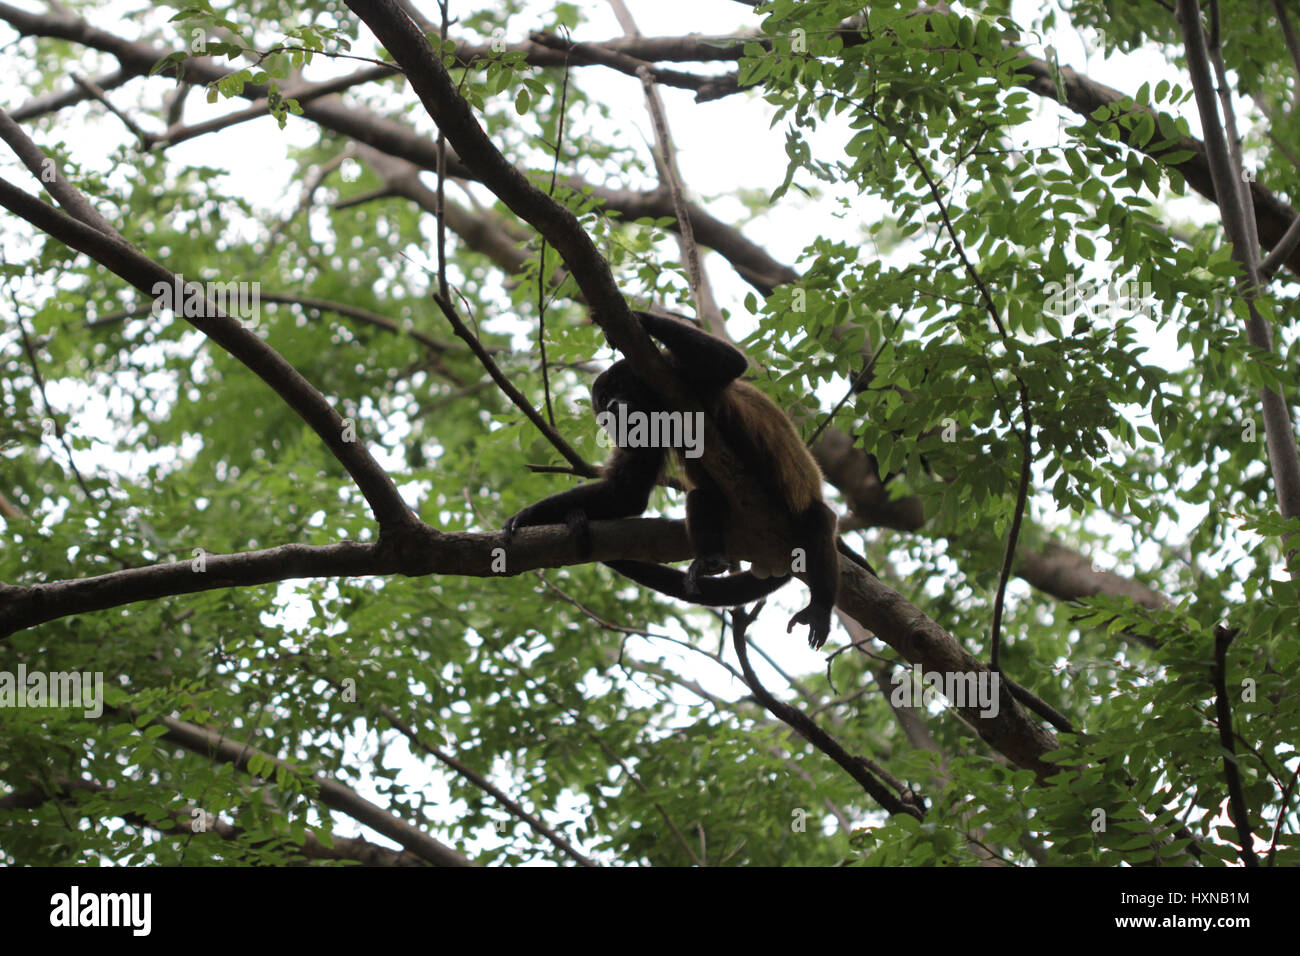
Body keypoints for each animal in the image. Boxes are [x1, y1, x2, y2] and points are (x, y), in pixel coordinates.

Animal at [503, 310, 866, 649]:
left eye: (618, 390)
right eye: (602, 402)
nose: (612, 409)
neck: (655, 407)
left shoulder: (675, 372)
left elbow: (728, 363)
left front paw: (632, 317)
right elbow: (626, 494)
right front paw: (528, 517)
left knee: (817, 520)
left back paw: (819, 607)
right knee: (702, 497)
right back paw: (711, 560)